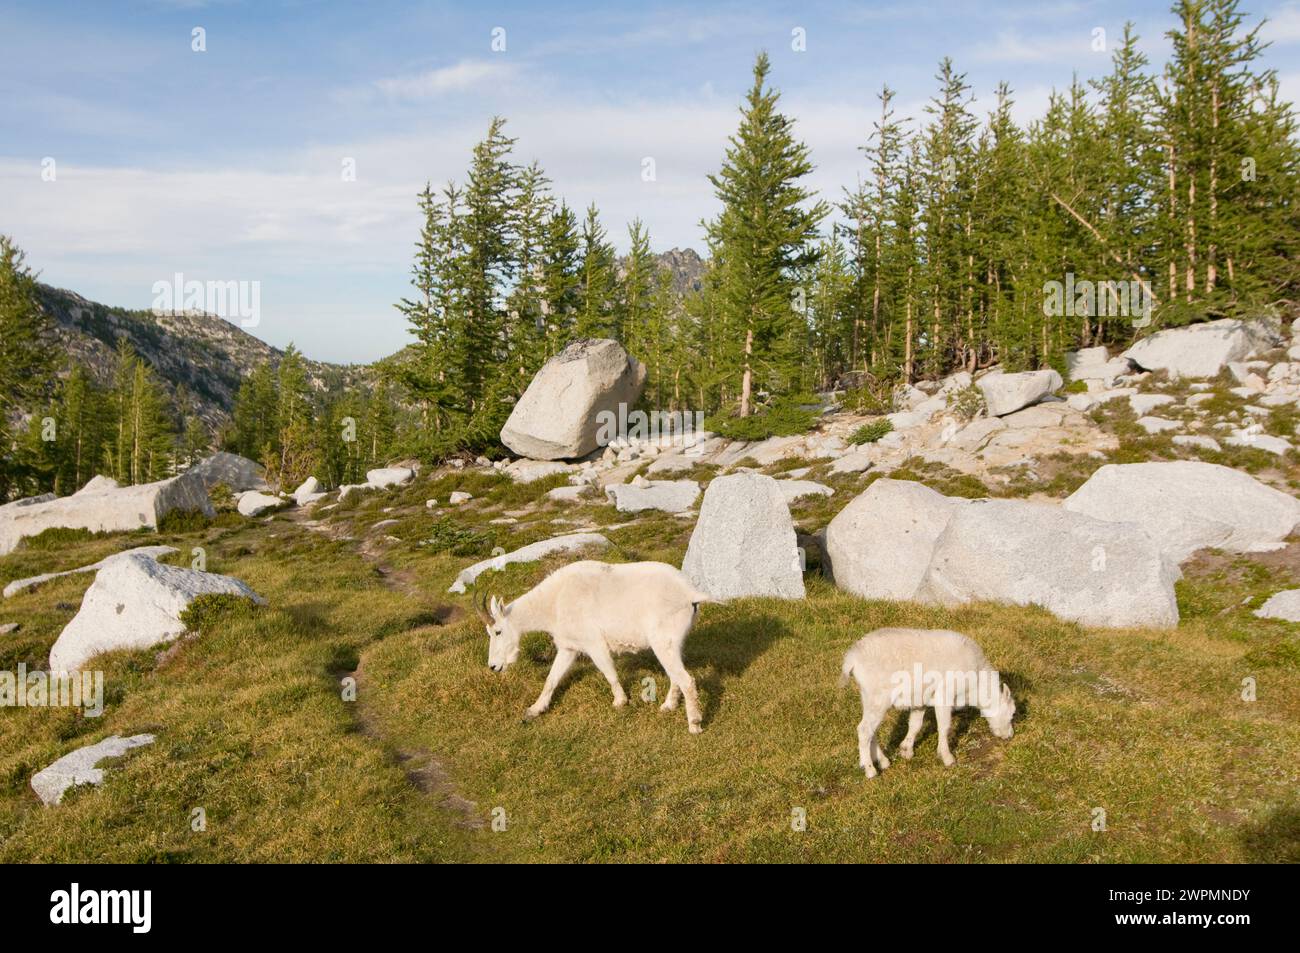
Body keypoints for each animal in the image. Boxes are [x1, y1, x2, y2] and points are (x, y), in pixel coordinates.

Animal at [474, 560, 713, 733]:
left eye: (498, 631)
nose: (493, 666)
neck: (554, 602)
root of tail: (690, 594)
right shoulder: (569, 646)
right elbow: (552, 678)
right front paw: (534, 709)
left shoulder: (593, 642)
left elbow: (609, 672)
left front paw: (620, 701)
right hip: (673, 642)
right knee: (676, 675)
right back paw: (668, 706)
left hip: (663, 640)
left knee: (687, 680)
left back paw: (694, 724)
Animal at [840, 627, 1016, 778]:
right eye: (1012, 713)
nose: (1009, 735)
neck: (976, 685)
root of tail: (852, 659)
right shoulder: (944, 694)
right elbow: (944, 726)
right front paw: (947, 757)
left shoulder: (921, 700)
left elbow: (915, 725)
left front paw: (906, 750)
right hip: (877, 697)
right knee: (864, 730)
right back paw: (870, 769)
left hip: (868, 697)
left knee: (871, 730)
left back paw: (883, 761)